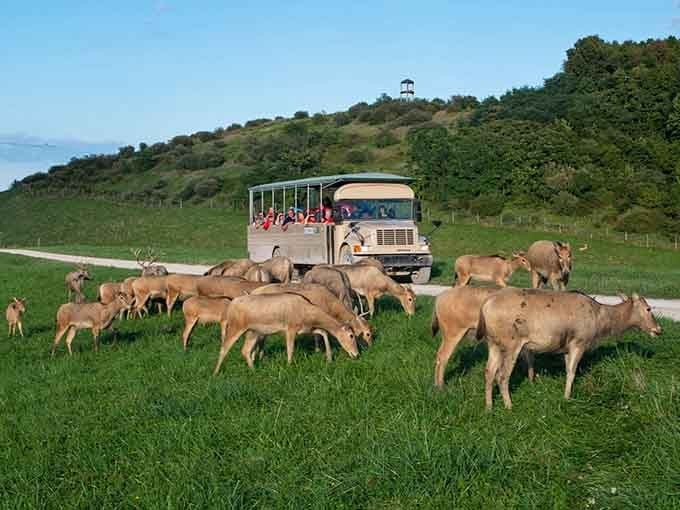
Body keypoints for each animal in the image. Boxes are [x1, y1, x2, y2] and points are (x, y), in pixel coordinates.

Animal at [213, 293, 359, 375]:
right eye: (351, 336)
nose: (356, 354)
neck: (307, 313)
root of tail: (231, 305)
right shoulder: (290, 328)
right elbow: (290, 349)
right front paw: (289, 366)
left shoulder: (306, 328)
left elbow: (323, 331)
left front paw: (329, 358)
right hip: (236, 326)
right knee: (224, 347)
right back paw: (215, 373)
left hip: (253, 332)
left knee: (245, 350)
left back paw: (254, 370)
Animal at [477, 289, 662, 409]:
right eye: (648, 308)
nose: (658, 329)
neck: (599, 322)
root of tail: (485, 305)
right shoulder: (579, 341)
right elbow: (572, 372)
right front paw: (567, 398)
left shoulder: (566, 348)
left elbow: (568, 370)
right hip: (511, 342)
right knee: (502, 375)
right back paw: (509, 406)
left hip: (493, 342)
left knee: (488, 371)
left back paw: (489, 406)